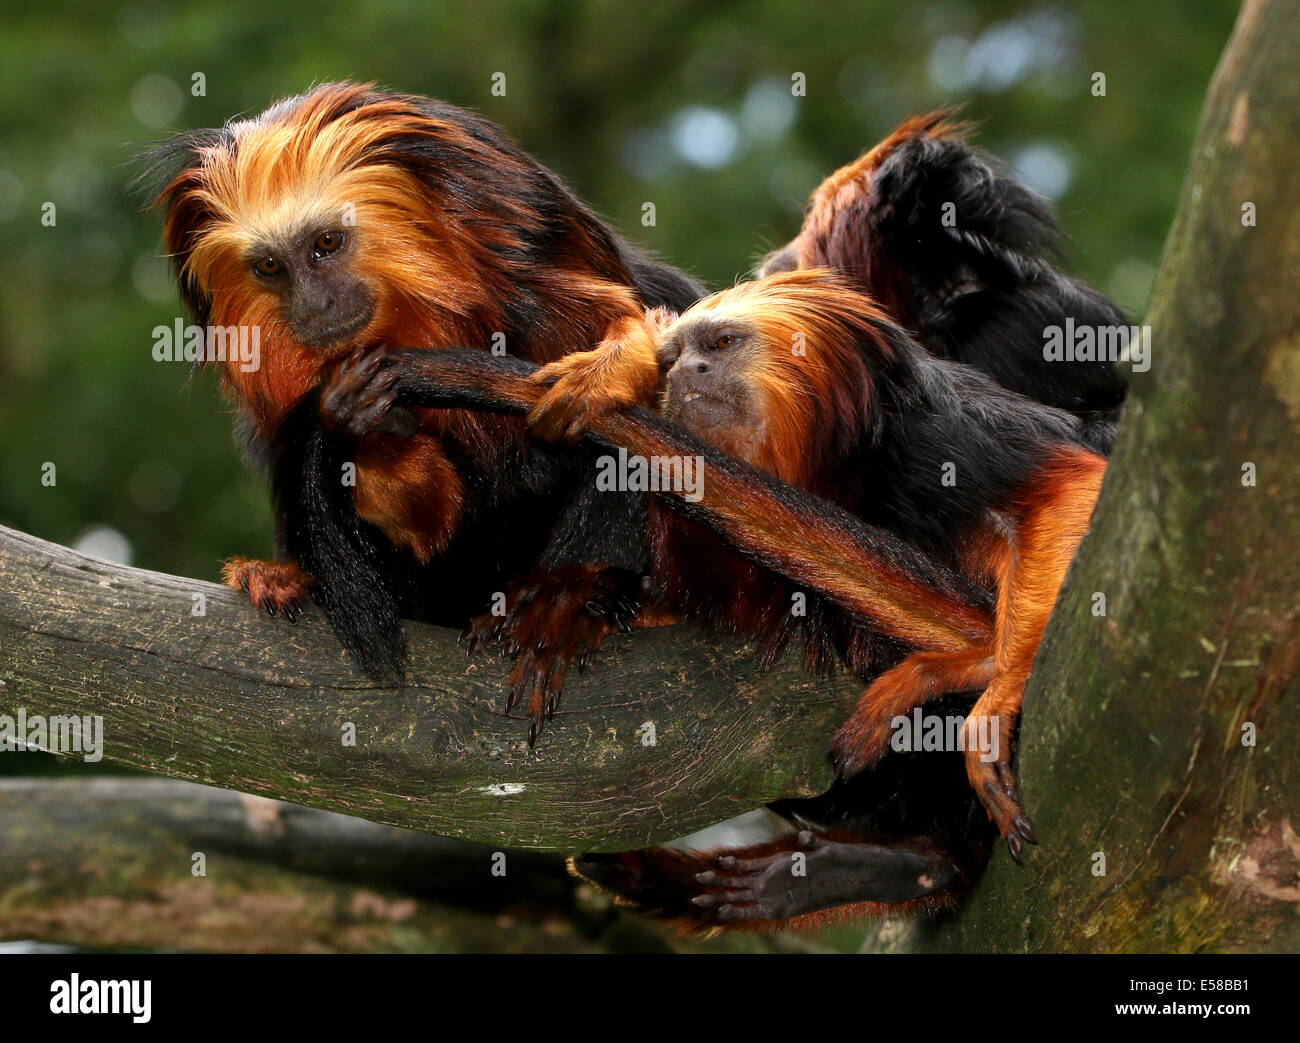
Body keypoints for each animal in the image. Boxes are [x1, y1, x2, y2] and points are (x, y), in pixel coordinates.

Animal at [140, 81, 704, 704]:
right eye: (269, 267)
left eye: (326, 244)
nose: (314, 306)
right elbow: (422, 526)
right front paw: (370, 429)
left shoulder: (541, 288)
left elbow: (625, 435)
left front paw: (568, 598)